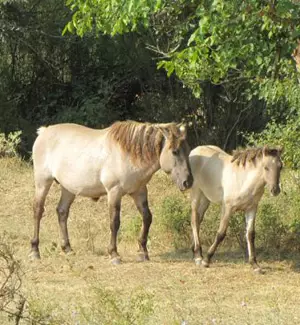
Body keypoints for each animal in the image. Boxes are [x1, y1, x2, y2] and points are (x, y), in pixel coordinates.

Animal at [29, 120, 192, 262]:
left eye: (188, 150)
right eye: (175, 151)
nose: (188, 181)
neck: (128, 153)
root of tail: (44, 131)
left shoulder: (139, 191)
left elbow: (147, 217)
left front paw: (143, 251)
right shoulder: (114, 192)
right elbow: (114, 222)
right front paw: (114, 254)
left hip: (68, 188)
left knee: (62, 211)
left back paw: (67, 248)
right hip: (42, 182)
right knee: (38, 211)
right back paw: (34, 250)